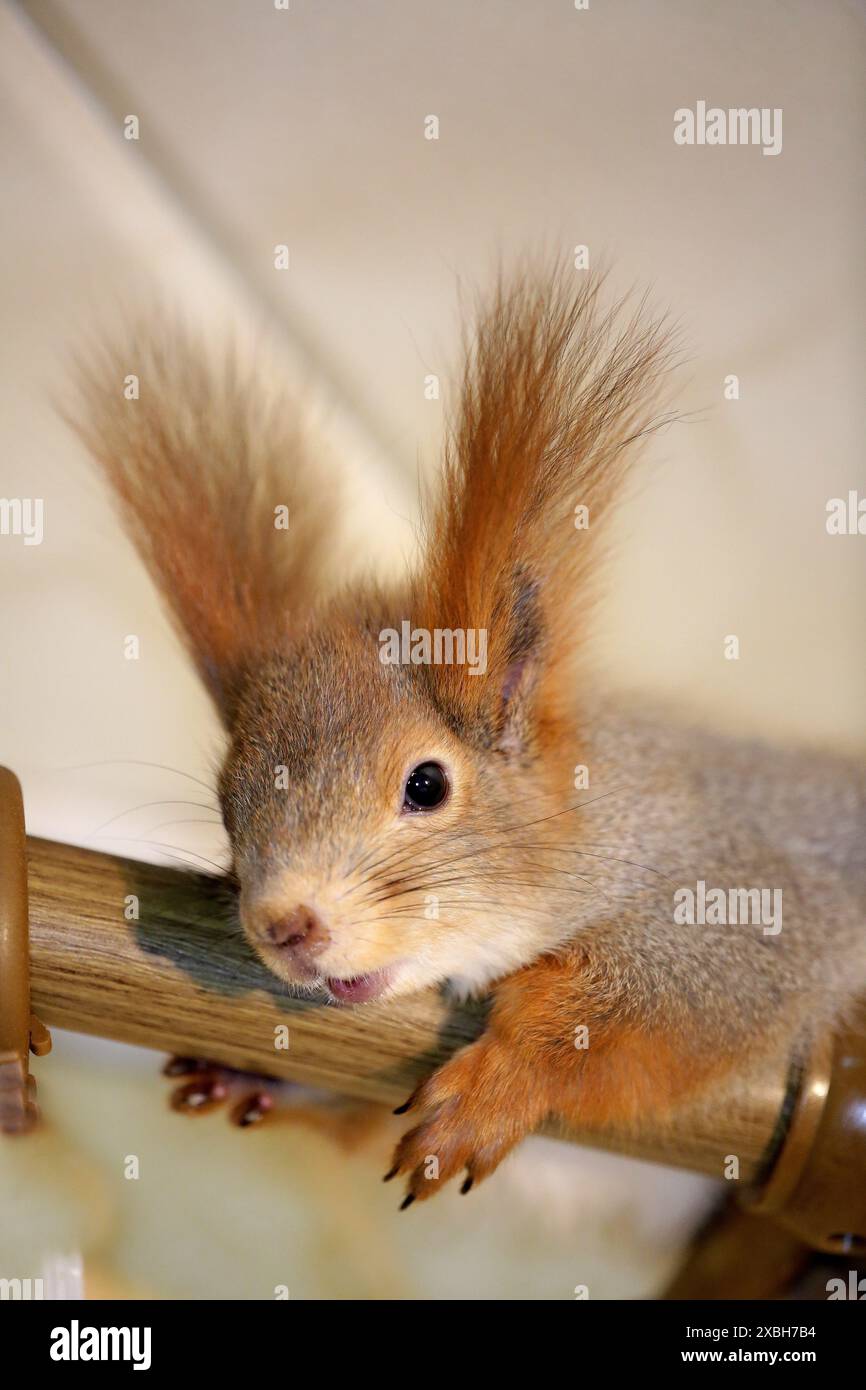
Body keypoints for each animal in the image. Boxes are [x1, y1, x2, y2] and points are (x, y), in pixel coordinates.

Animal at [72, 268, 866, 1206]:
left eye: (427, 784)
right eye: (226, 805)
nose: (282, 925)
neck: (607, 813)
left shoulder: (742, 902)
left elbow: (660, 1005)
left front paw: (503, 1081)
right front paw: (256, 1075)